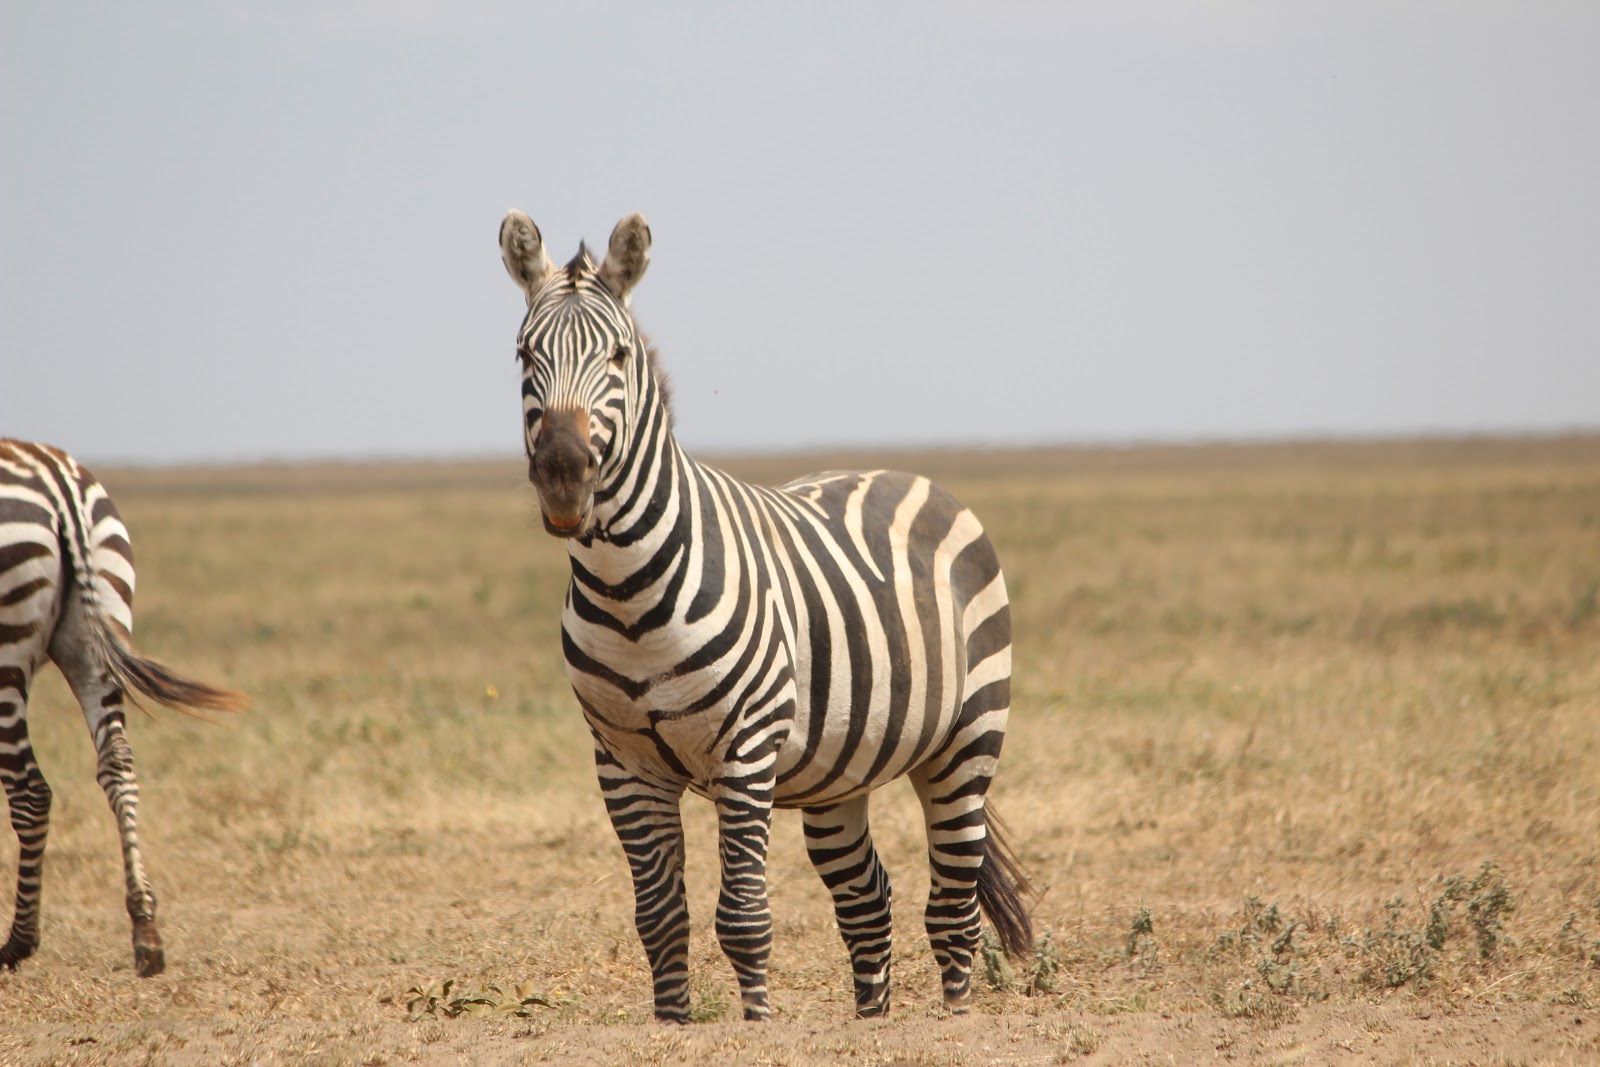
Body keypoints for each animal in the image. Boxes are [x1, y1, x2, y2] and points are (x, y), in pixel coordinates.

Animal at [0, 440, 246, 976]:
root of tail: (57, 481)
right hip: (98, 628)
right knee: (117, 763)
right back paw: (145, 931)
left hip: (6, 646)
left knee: (31, 790)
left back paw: (18, 943)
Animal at [497, 210, 1033, 1022]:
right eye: (525, 354)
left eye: (617, 354)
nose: (563, 476)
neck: (628, 597)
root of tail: (906, 474)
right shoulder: (621, 762)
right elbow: (660, 917)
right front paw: (674, 1022)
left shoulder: (745, 749)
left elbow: (743, 918)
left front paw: (755, 1025)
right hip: (841, 772)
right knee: (868, 902)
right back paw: (870, 1020)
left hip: (967, 740)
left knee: (953, 906)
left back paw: (956, 1014)